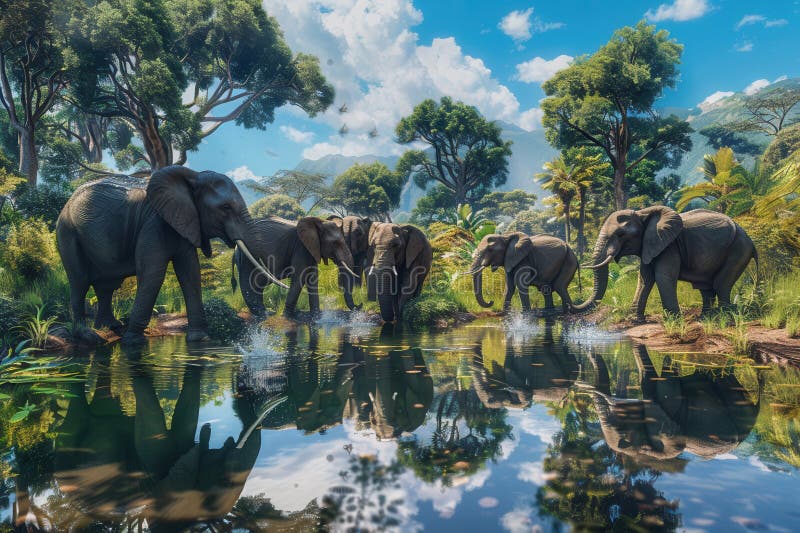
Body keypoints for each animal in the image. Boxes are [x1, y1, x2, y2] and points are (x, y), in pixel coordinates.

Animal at [56, 166, 282, 343]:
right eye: (225, 207)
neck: (192, 176)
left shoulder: (186, 221)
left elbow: (190, 272)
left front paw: (200, 339)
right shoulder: (154, 223)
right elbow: (153, 274)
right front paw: (134, 342)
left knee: (107, 286)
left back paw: (110, 327)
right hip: (67, 231)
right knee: (79, 280)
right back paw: (87, 334)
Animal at [576, 206, 758, 320]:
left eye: (620, 234)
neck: (643, 213)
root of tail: (751, 241)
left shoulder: (669, 246)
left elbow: (663, 277)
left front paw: (674, 321)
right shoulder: (650, 245)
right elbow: (645, 279)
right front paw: (635, 320)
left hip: (739, 249)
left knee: (721, 284)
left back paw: (724, 317)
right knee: (706, 288)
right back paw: (706, 318)